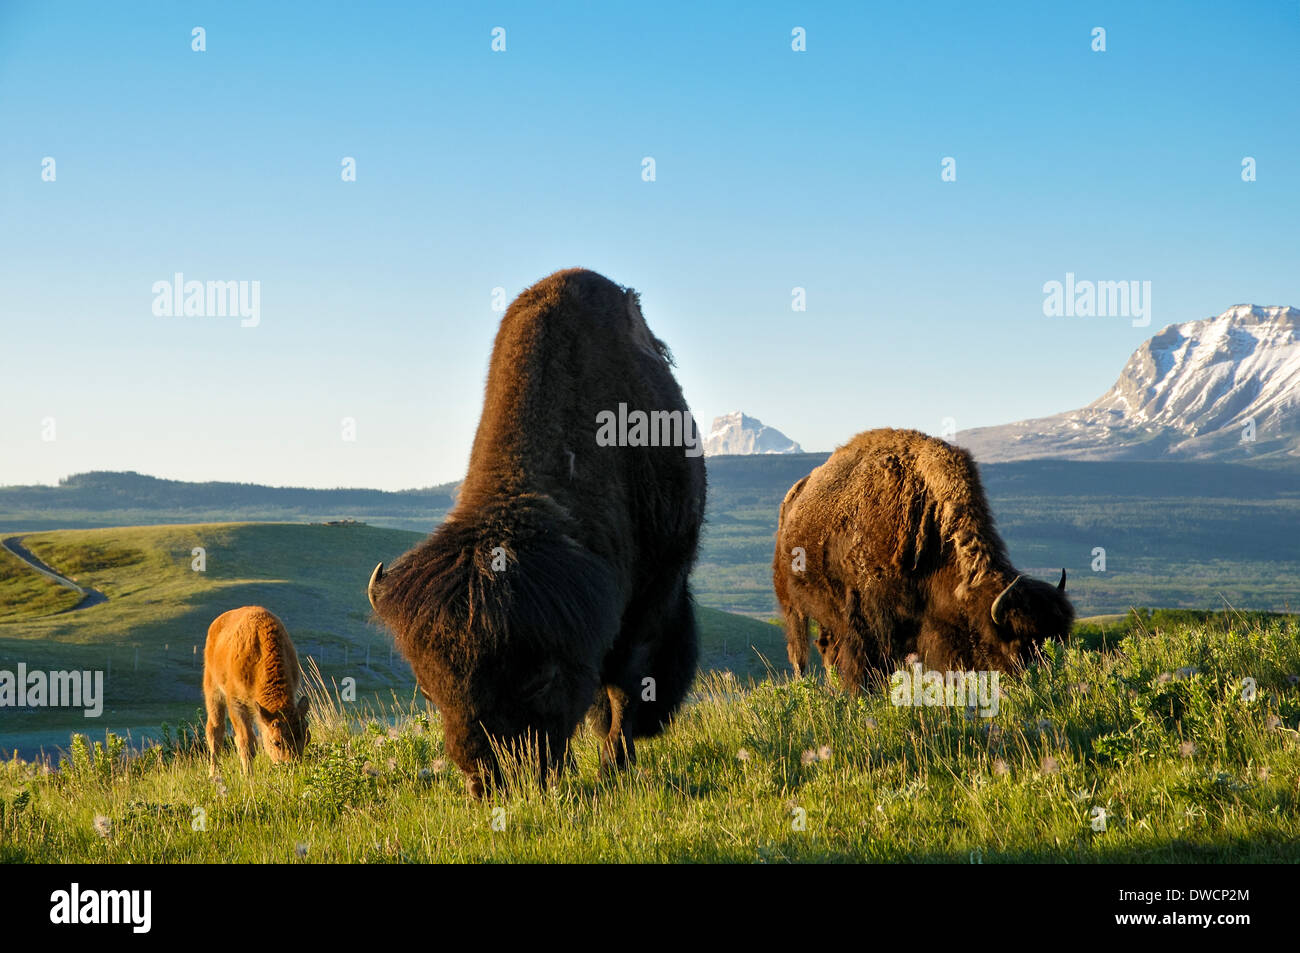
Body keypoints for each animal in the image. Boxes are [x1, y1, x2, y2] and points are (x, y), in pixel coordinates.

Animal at [368, 268, 706, 796]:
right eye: (431, 691)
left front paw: (614, 767)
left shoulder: (647, 601)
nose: (492, 784)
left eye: (542, 679)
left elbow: (624, 687)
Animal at [774, 428, 1072, 689]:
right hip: (791, 604)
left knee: (826, 649)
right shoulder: (866, 619)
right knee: (799, 653)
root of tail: (793, 498)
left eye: (1056, 639)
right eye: (1012, 644)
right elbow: (865, 665)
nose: (1038, 683)